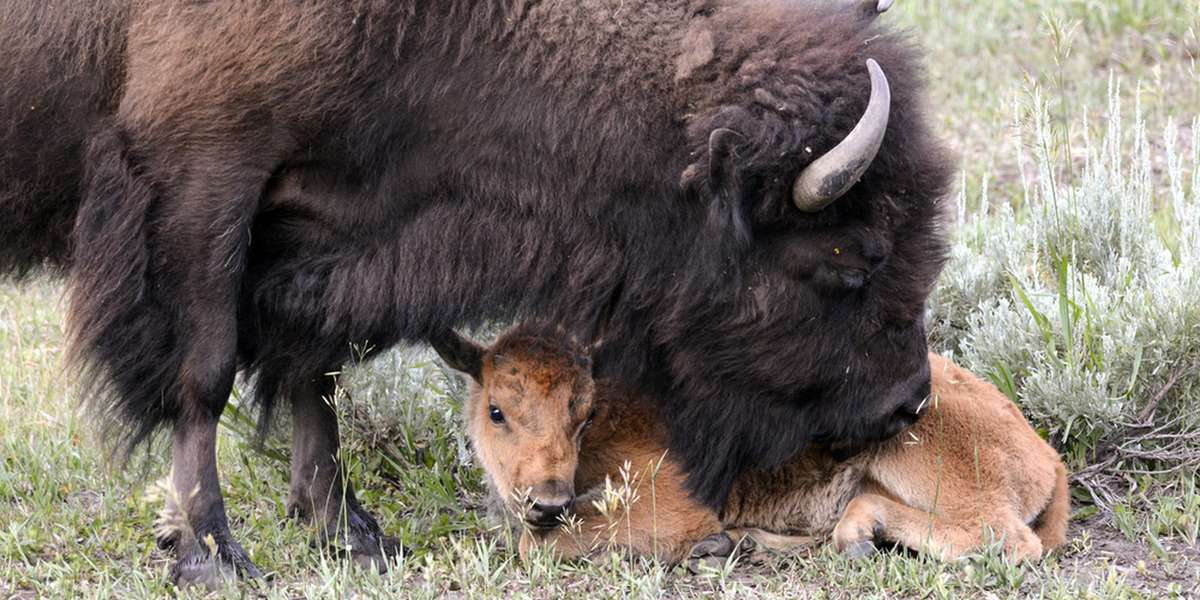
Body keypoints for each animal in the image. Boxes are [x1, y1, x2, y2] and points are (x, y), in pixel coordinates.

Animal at [1, 0, 952, 583]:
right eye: (851, 258)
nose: (908, 401)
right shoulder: (205, 177)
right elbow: (202, 372)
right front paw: (208, 553)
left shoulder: (328, 229)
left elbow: (313, 373)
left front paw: (349, 534)